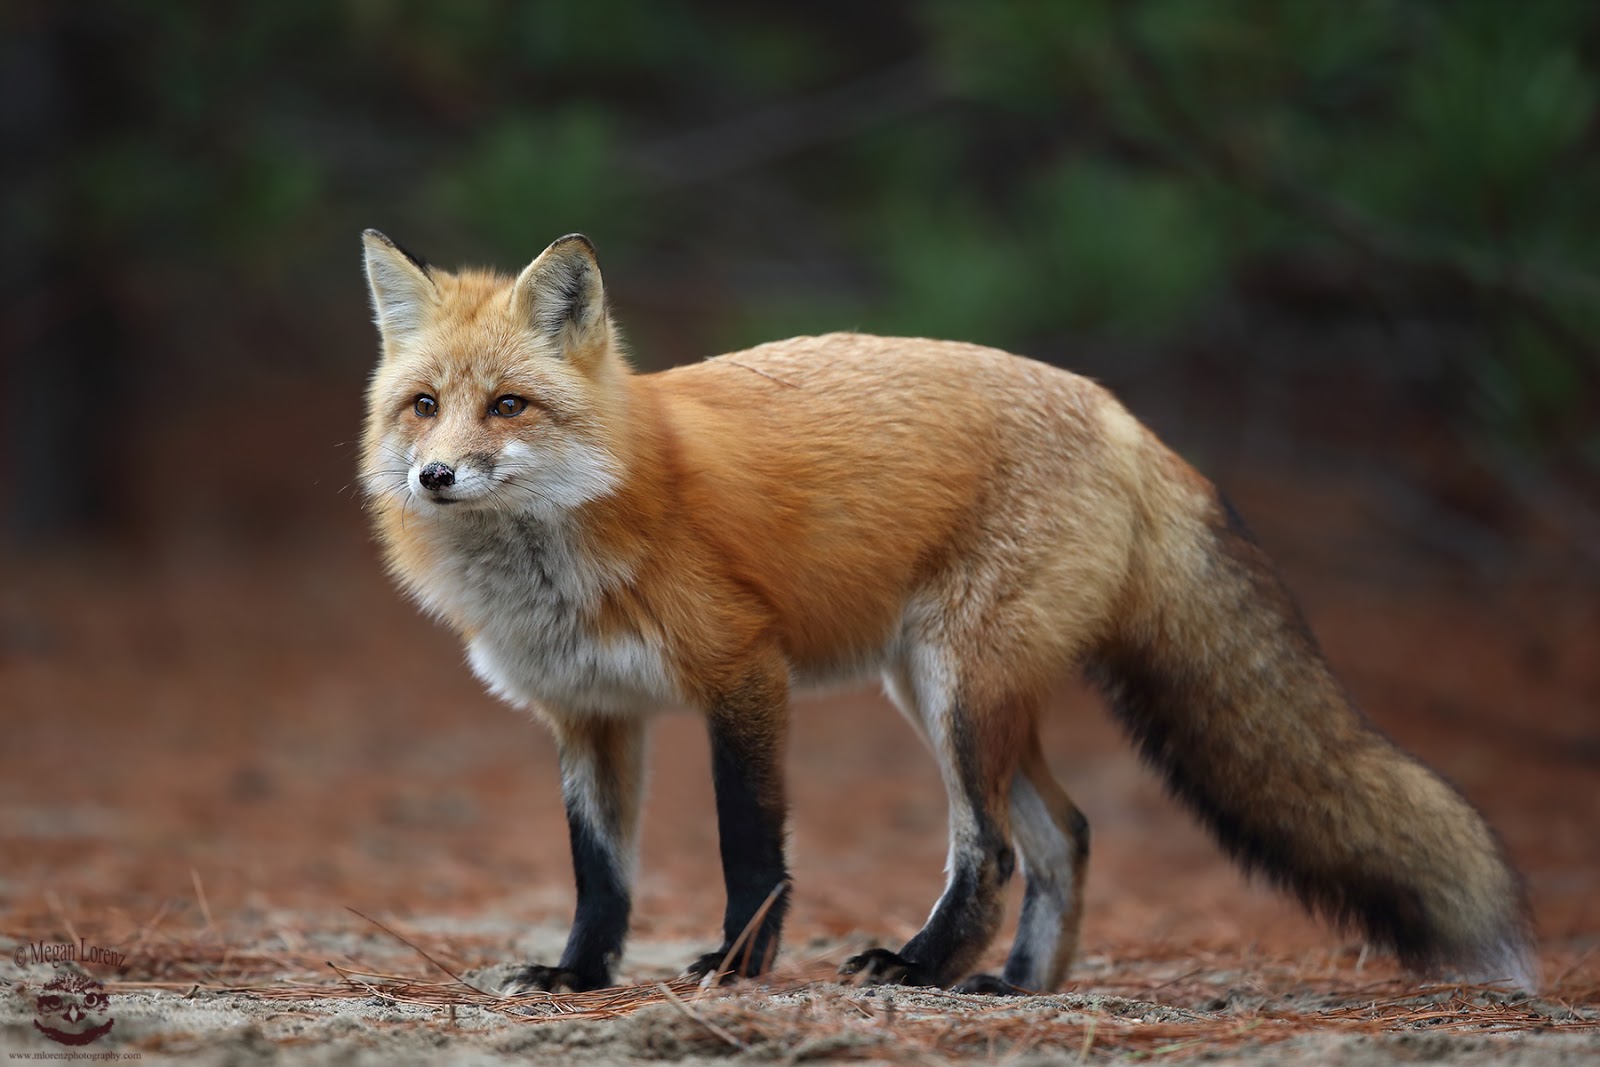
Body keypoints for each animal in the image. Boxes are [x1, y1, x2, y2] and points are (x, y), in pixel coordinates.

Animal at [357, 230, 1536, 996]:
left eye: (509, 405)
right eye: (424, 405)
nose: (436, 475)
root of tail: (1121, 415)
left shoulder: (744, 674)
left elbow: (750, 848)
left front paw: (736, 968)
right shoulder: (590, 715)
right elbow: (598, 874)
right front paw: (577, 974)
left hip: (956, 688)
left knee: (995, 849)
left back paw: (920, 966)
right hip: (936, 693)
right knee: (1065, 833)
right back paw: (1013, 986)